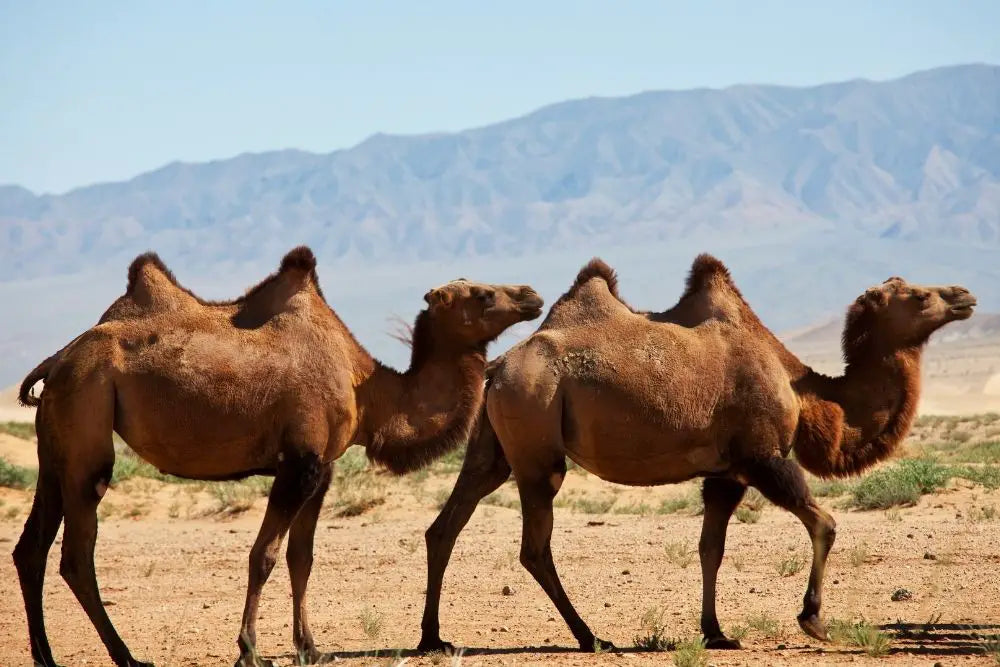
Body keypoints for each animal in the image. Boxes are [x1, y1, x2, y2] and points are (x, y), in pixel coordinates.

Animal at [12, 246, 543, 667]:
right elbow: (263, 555)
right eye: (482, 295)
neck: (366, 389)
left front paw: (310, 648)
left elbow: (300, 557)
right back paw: (127, 656)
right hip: (88, 417)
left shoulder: (322, 469)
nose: (532, 294)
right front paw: (250, 651)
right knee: (76, 553)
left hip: (56, 444)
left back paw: (47, 657)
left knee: (31, 547)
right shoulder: (299, 463)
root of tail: (58, 360)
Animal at [417, 255, 976, 653]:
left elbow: (711, 548)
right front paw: (813, 620)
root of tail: (498, 368)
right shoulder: (763, 457)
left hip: (493, 448)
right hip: (536, 444)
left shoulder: (725, 473)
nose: (964, 294)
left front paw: (716, 631)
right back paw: (591, 636)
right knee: (534, 546)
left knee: (446, 524)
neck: (802, 389)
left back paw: (433, 638)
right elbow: (824, 523)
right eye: (917, 295)